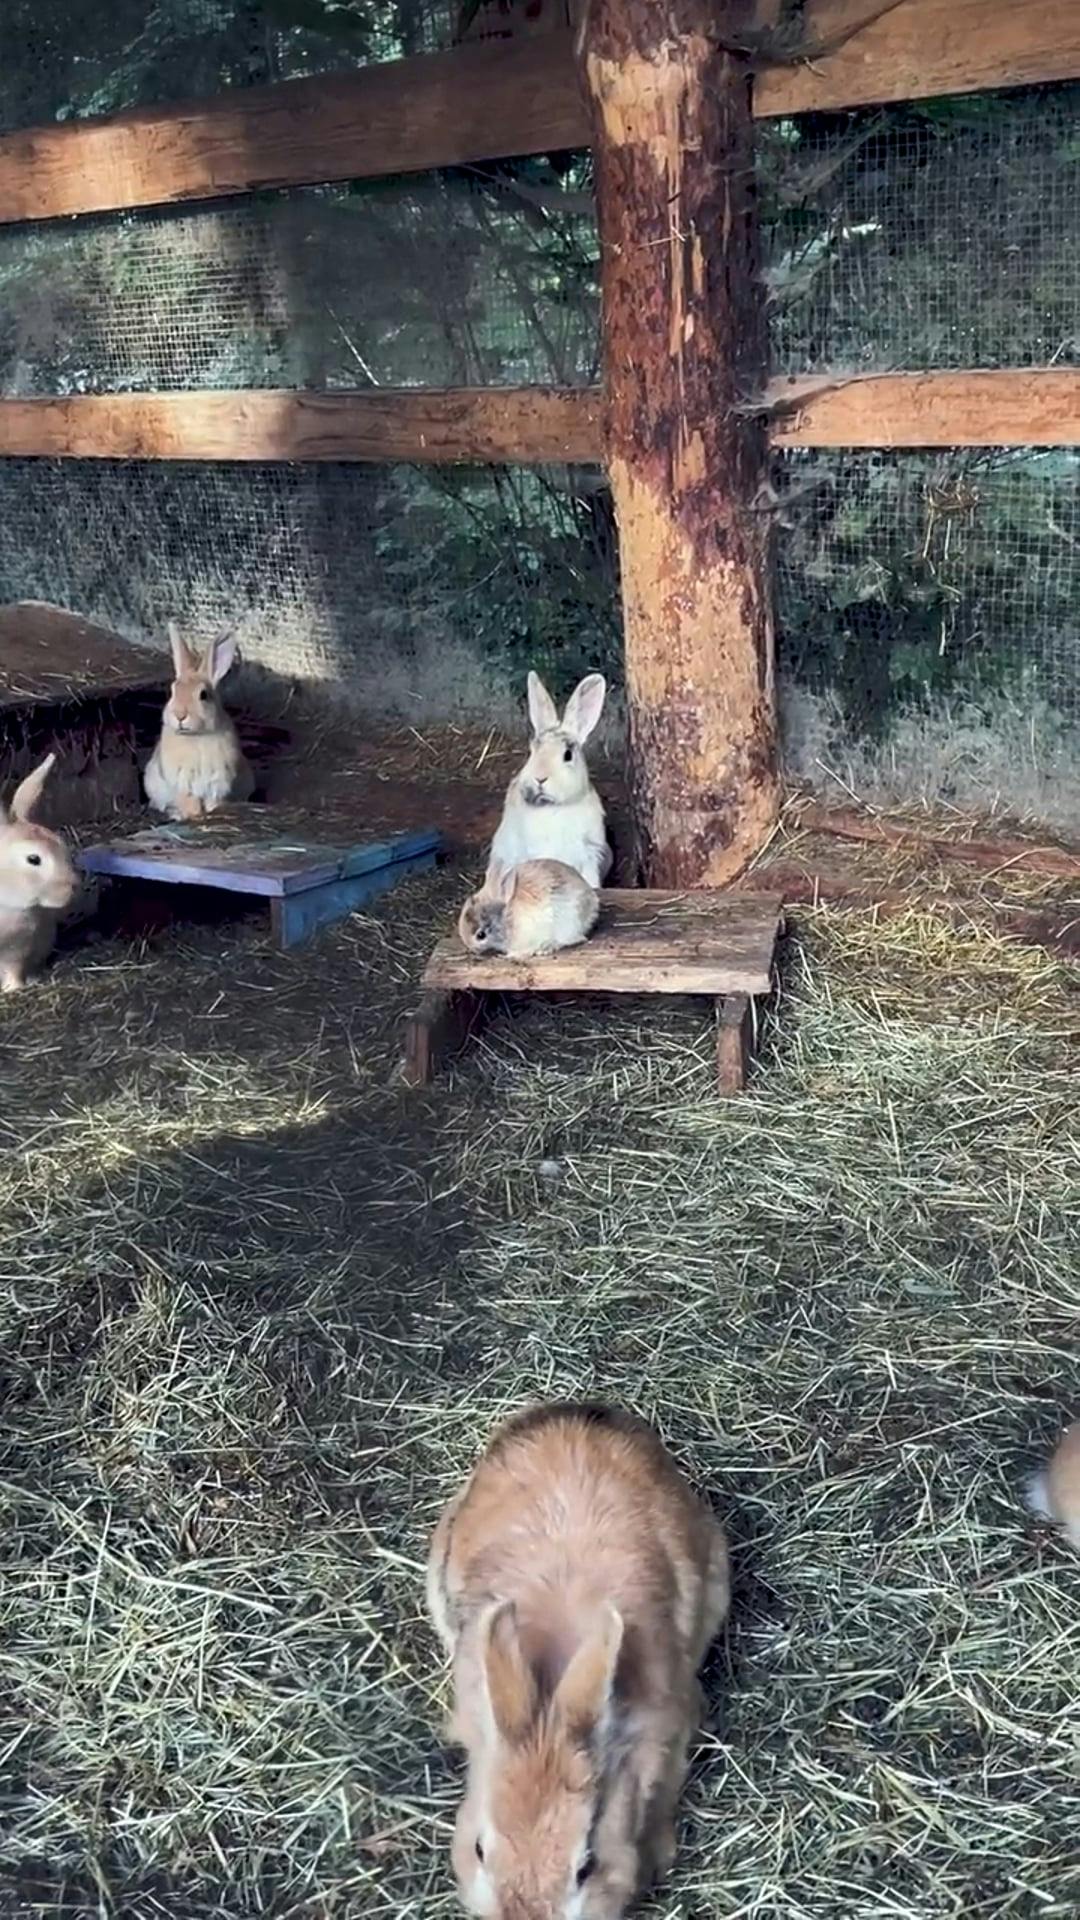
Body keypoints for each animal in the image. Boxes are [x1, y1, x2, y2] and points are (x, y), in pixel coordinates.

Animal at [0, 754, 78, 992]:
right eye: (33, 859)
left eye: (62, 844)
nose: (73, 886)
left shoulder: (18, 949)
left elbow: (14, 970)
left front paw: (14, 989)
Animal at [144, 623, 255, 820]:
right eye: (173, 691)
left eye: (203, 695)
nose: (180, 715)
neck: (196, 736)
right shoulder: (184, 785)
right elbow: (191, 805)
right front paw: (192, 816)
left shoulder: (217, 784)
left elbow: (213, 804)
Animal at [458, 858, 599, 959]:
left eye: (480, 935)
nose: (471, 948)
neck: (506, 917)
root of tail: (592, 905)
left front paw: (507, 956)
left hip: (568, 924)